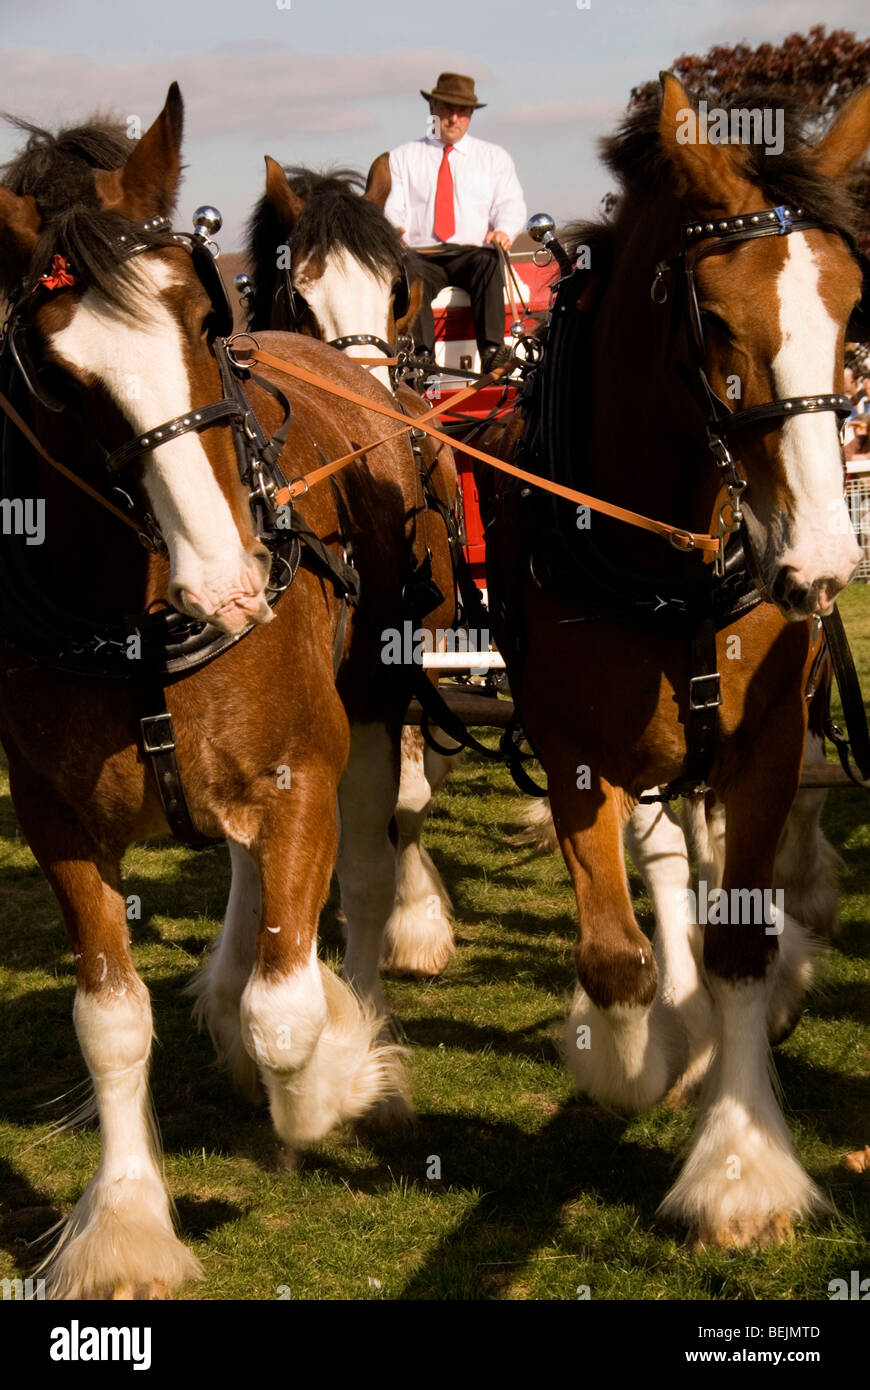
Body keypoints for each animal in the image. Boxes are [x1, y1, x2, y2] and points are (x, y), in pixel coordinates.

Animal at [481, 75, 870, 1248]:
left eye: (850, 316)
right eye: (719, 322)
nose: (823, 561)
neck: (672, 555)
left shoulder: (769, 737)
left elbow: (742, 937)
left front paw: (741, 1165)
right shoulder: (571, 743)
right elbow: (616, 954)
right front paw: (649, 1050)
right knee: (663, 854)